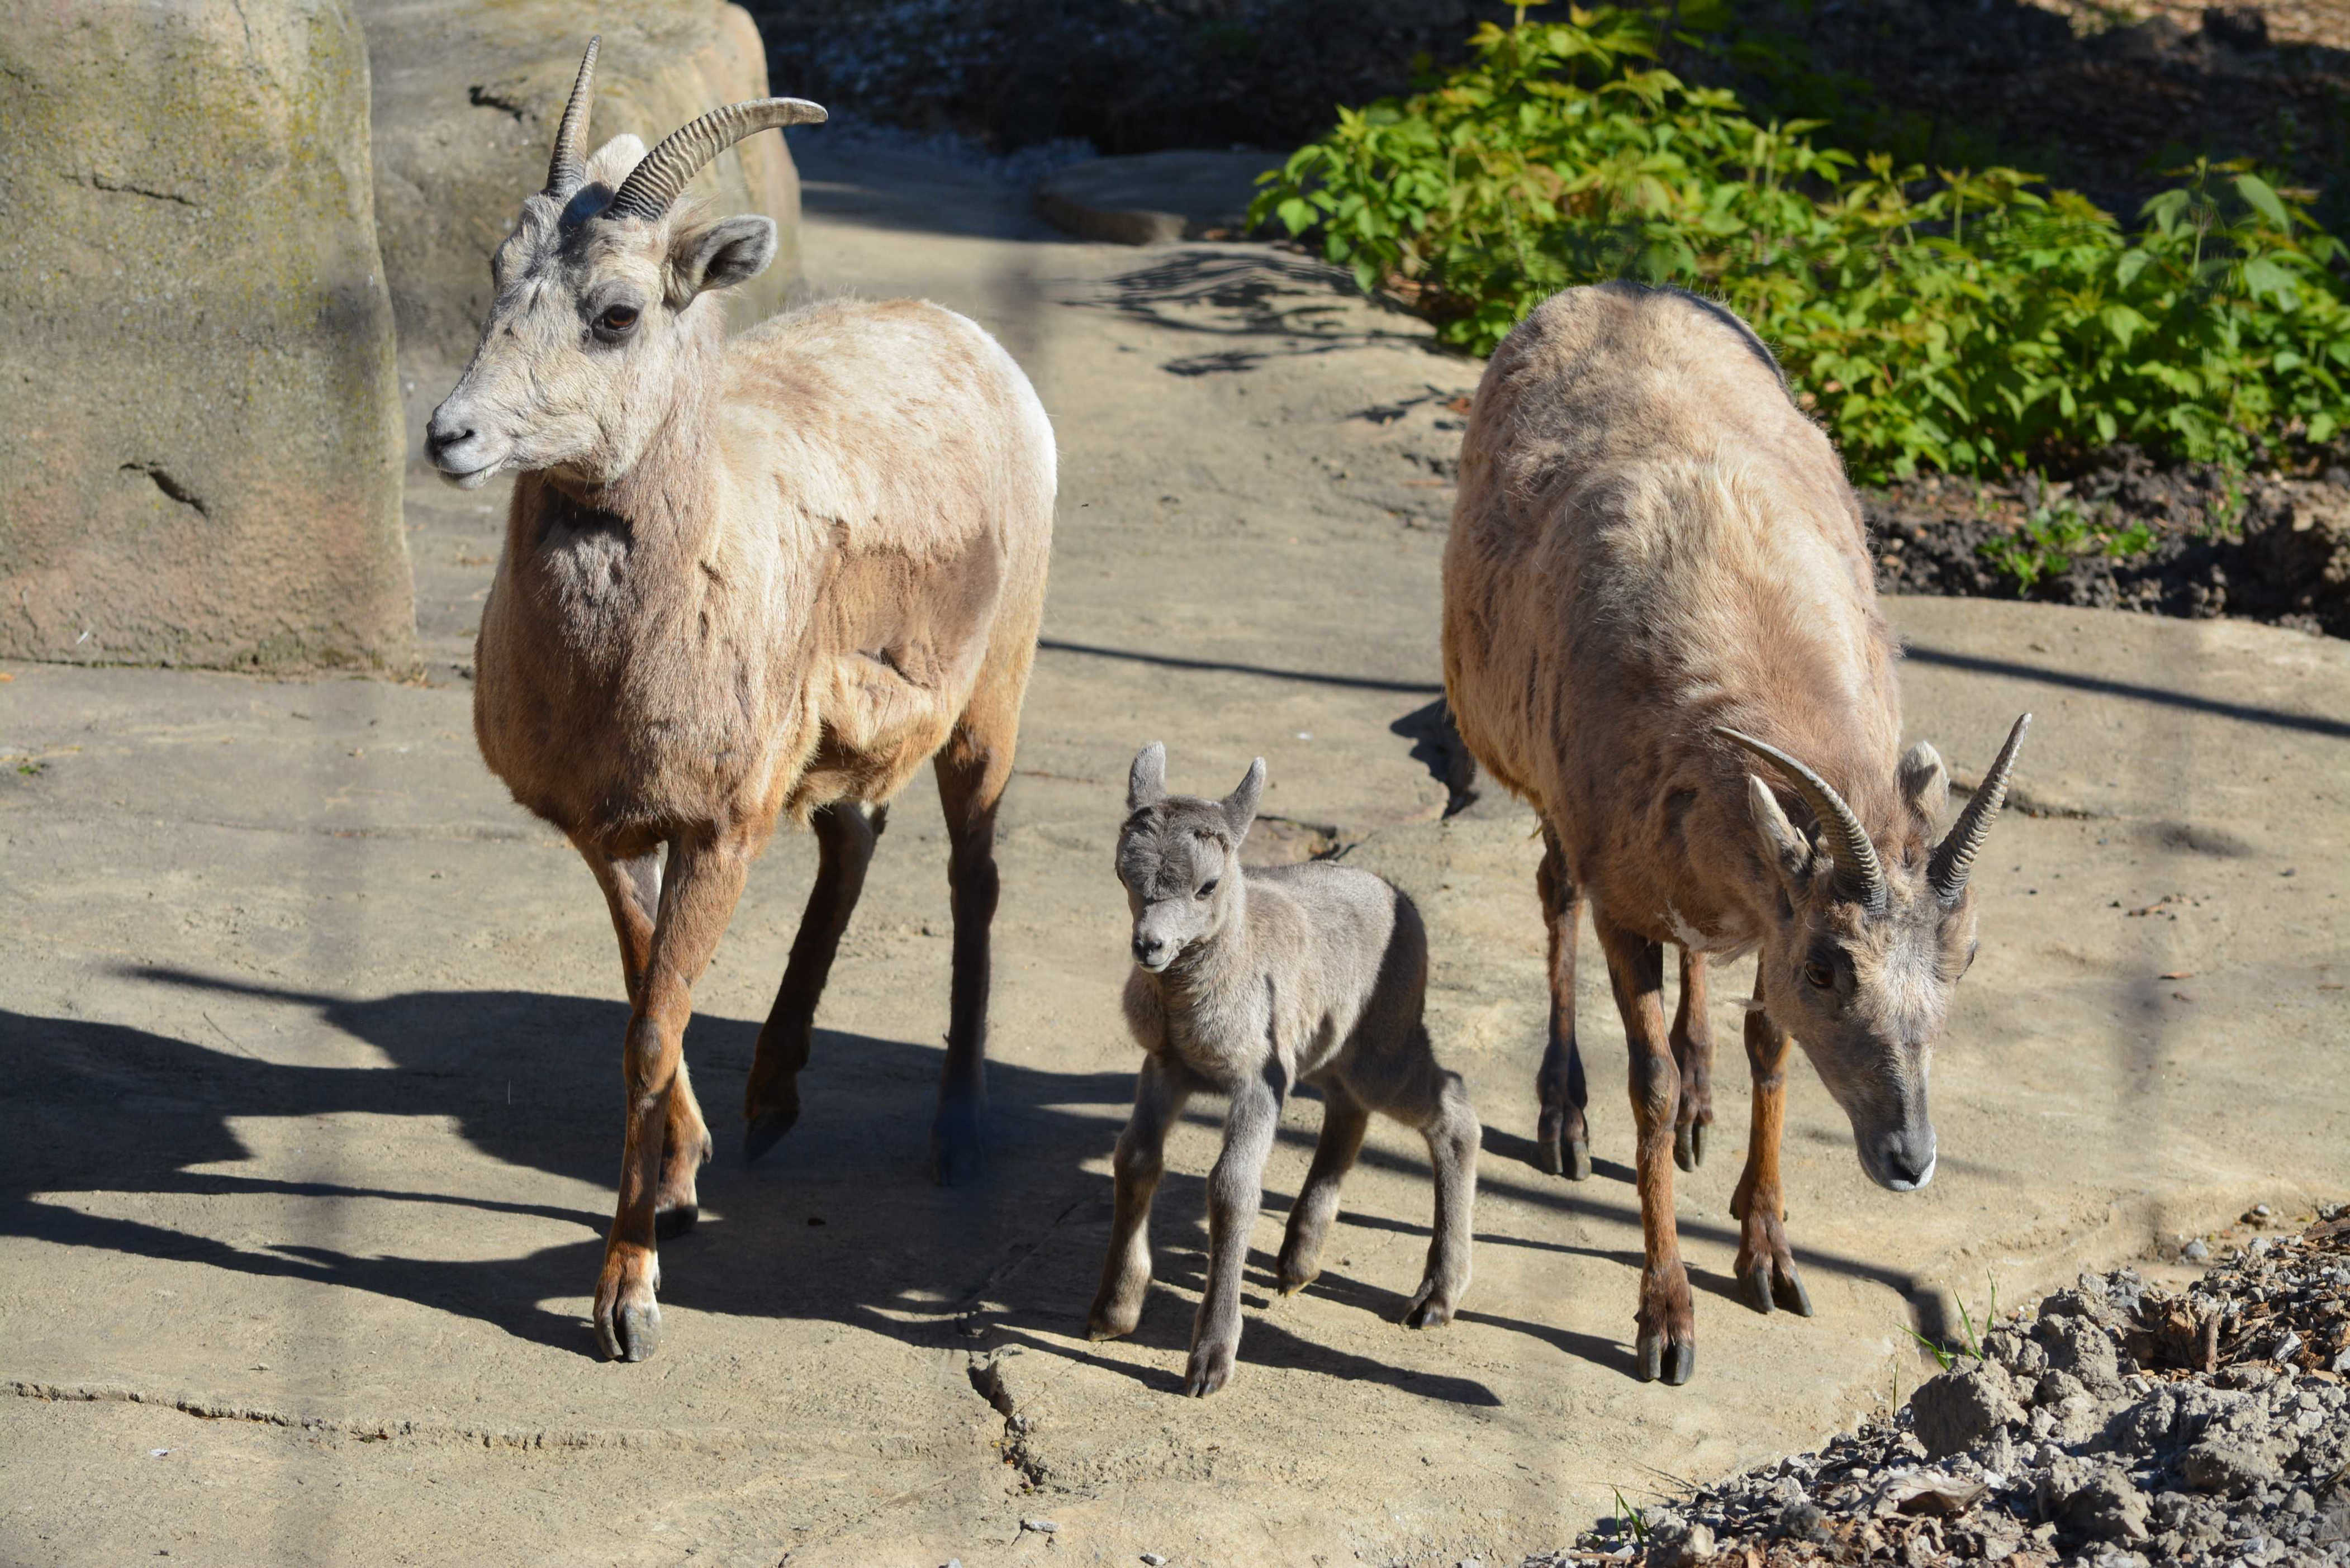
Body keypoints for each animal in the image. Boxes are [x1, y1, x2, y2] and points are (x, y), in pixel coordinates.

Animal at [423, 40, 1056, 1362]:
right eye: (501, 272)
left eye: (616, 314)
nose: (450, 437)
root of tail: (974, 344)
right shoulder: (614, 832)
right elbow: (645, 999)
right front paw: (682, 1181)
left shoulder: (717, 832)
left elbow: (652, 1027)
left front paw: (629, 1300)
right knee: (853, 838)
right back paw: (773, 1101)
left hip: (988, 709)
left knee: (972, 879)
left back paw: (957, 1136)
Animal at [1088, 743, 1480, 1397]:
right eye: (1122, 875)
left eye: (1207, 886)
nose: (1149, 946)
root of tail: (1400, 898)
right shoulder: (1165, 1065)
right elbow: (1135, 1161)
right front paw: (1111, 1313)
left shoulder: (1259, 1079)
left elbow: (1231, 1189)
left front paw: (1209, 1363)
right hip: (1325, 1055)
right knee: (1349, 1113)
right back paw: (1298, 1262)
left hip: (1383, 1048)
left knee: (1451, 1111)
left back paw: (1433, 1299)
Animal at [1440, 281, 2029, 1385]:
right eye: (1832, 967)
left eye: (1964, 955)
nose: (1908, 1158)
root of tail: (1606, 288)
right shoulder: (1625, 892)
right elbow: (1647, 1084)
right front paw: (1666, 1323)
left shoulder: (1767, 904)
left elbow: (1770, 1045)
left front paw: (1771, 1262)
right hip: (1538, 788)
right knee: (1554, 895)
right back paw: (1563, 1118)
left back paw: (1704, 1111)